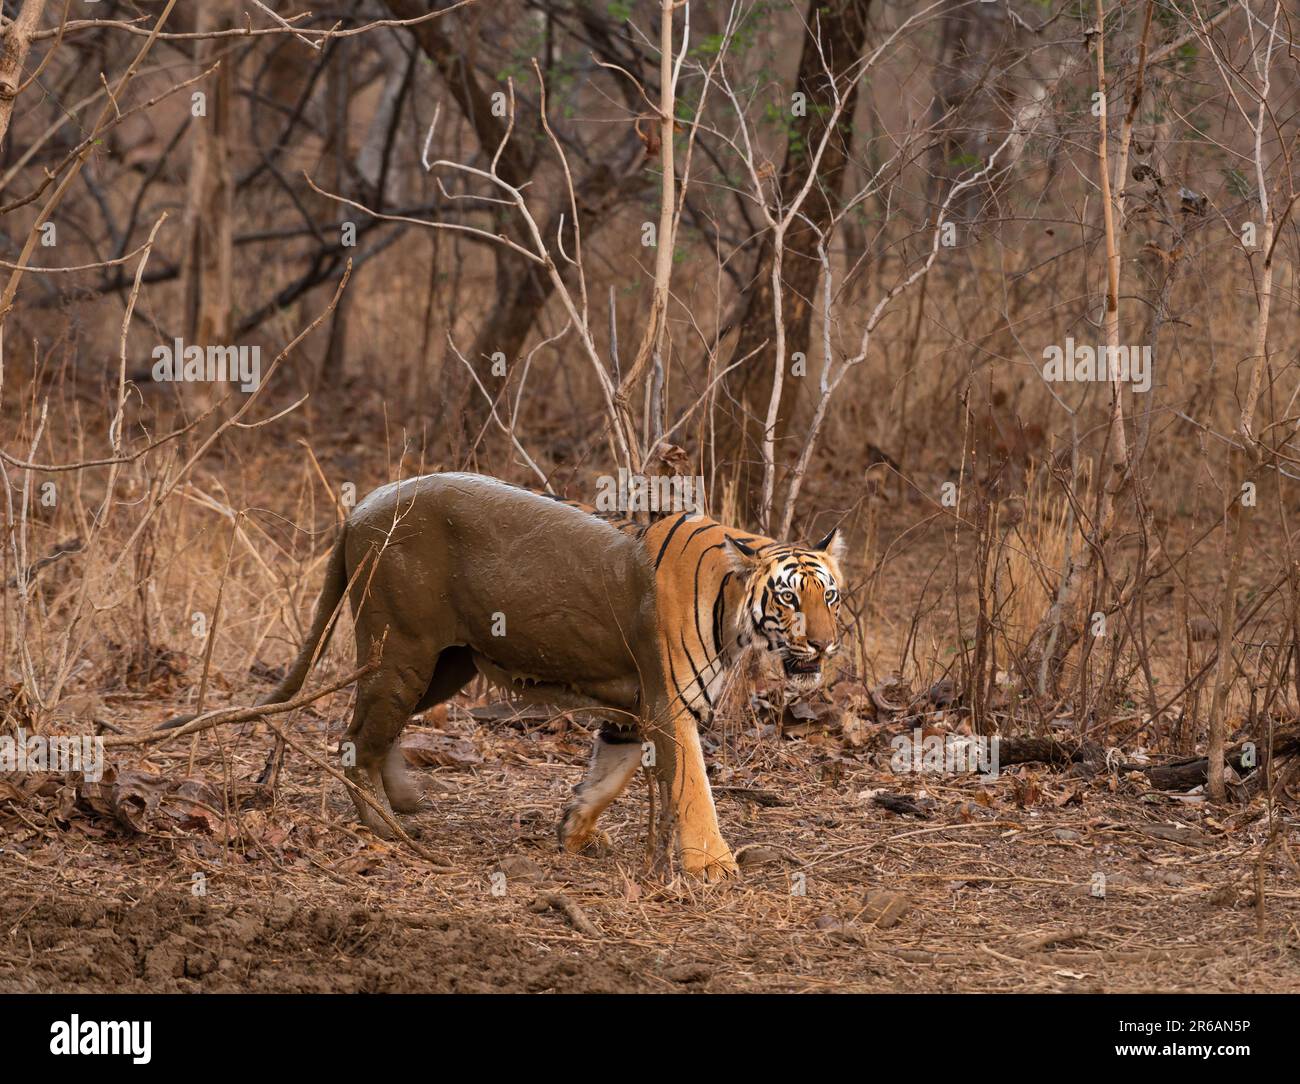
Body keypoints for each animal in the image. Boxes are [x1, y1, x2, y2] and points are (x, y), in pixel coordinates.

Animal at [158, 472, 846, 880]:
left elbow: (609, 775)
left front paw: (574, 831)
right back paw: (386, 828)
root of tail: (359, 510)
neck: (737, 616)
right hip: (402, 652)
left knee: (376, 733)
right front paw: (713, 867)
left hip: (442, 666)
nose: (825, 644)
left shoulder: (632, 709)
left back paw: (406, 799)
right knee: (353, 738)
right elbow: (693, 790)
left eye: (831, 597)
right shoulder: (670, 704)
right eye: (789, 598)